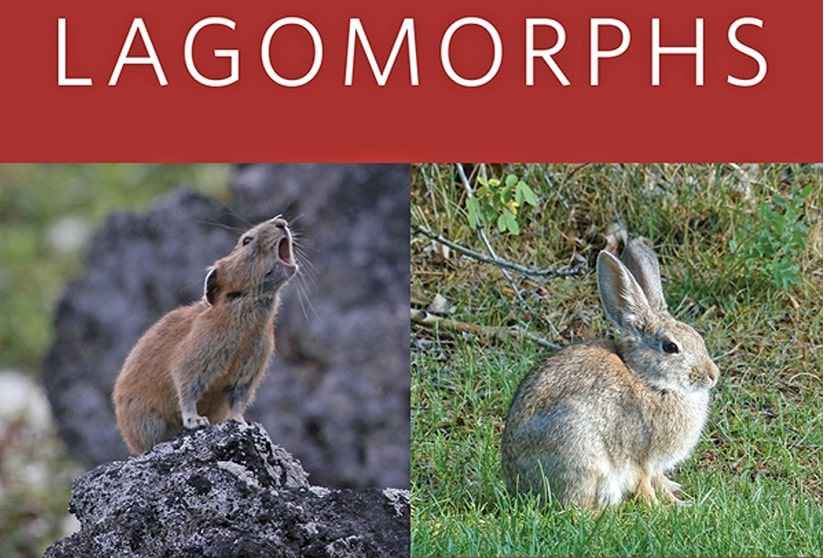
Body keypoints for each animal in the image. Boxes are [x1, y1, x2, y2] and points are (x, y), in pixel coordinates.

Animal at [501, 238, 719, 509]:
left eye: (698, 337)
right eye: (670, 347)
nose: (713, 375)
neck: (647, 380)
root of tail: (517, 485)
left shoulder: (654, 465)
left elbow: (658, 479)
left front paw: (676, 497)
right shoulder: (641, 458)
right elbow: (645, 483)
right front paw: (665, 507)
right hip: (581, 451)